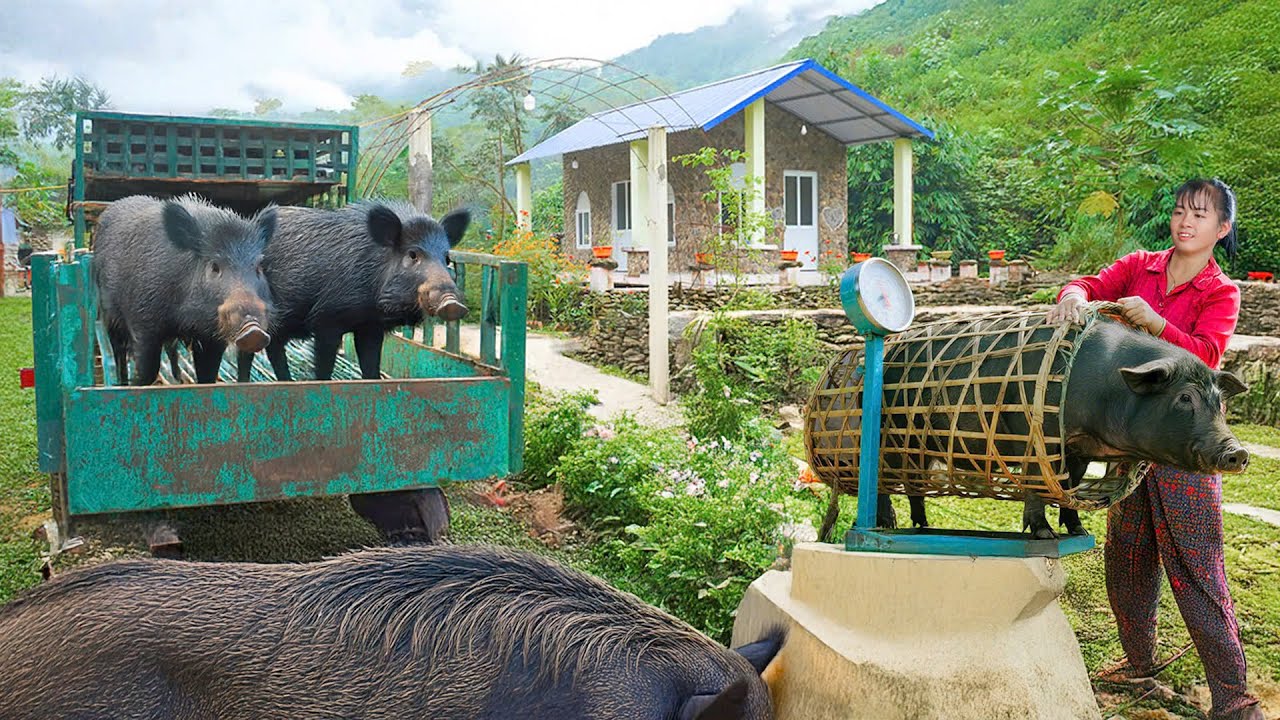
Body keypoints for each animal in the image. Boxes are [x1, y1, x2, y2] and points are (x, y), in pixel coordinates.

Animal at [92, 194, 275, 385]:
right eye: (214, 266)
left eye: (258, 267)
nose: (254, 332)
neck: (183, 319)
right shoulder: (142, 321)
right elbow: (147, 370)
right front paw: (134, 385)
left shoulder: (211, 339)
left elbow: (208, 375)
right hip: (109, 311)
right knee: (117, 349)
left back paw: (178, 378)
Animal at [816, 314, 1249, 541]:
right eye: (1185, 398)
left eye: (1219, 400)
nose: (1238, 451)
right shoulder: (1039, 438)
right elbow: (1038, 489)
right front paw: (1044, 535)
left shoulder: (1079, 449)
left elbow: (1069, 487)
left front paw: (1078, 532)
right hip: (891, 431)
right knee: (883, 478)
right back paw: (887, 525)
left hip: (921, 440)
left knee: (915, 482)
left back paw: (923, 525)